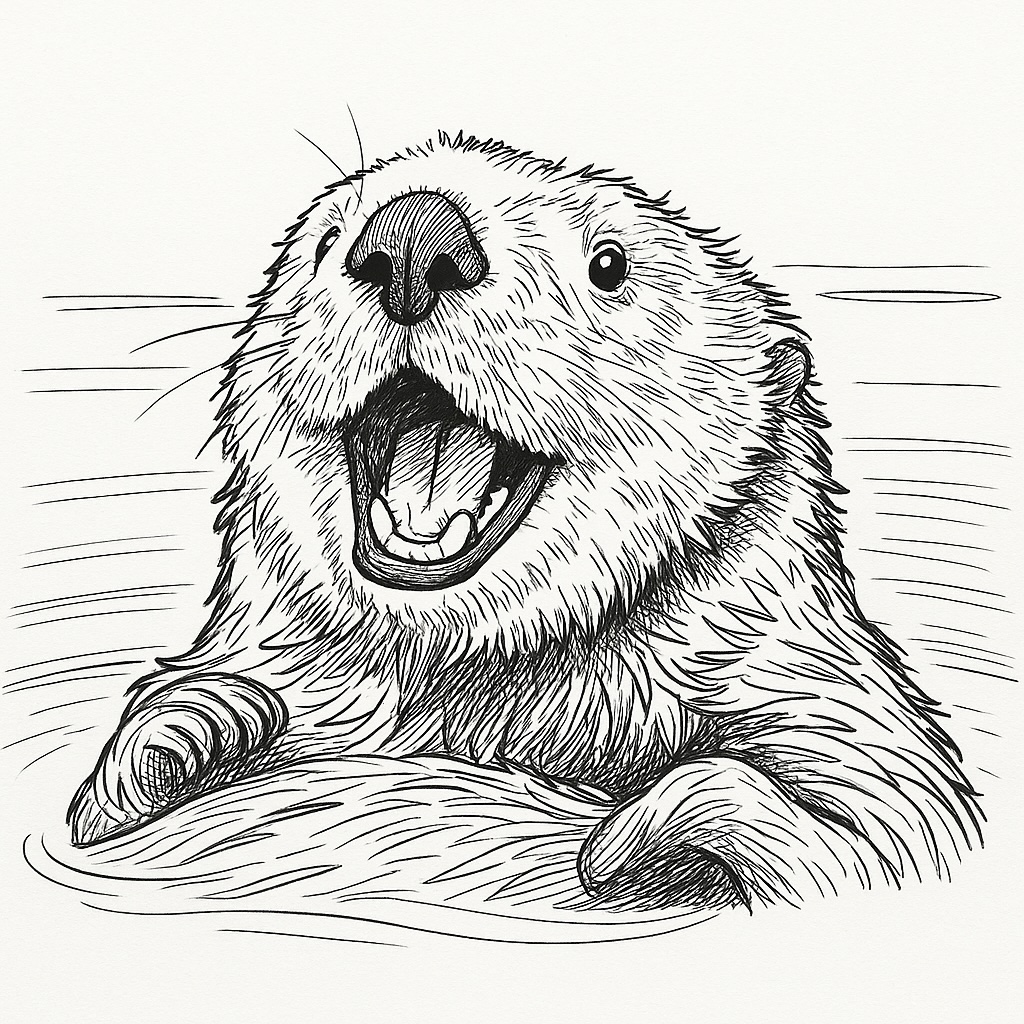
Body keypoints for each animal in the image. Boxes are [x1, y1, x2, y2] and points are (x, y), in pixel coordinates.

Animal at [67, 133, 982, 910]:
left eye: (609, 265)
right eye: (325, 239)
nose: (413, 237)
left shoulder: (812, 687)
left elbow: (895, 833)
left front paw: (617, 840)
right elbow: (107, 797)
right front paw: (201, 722)